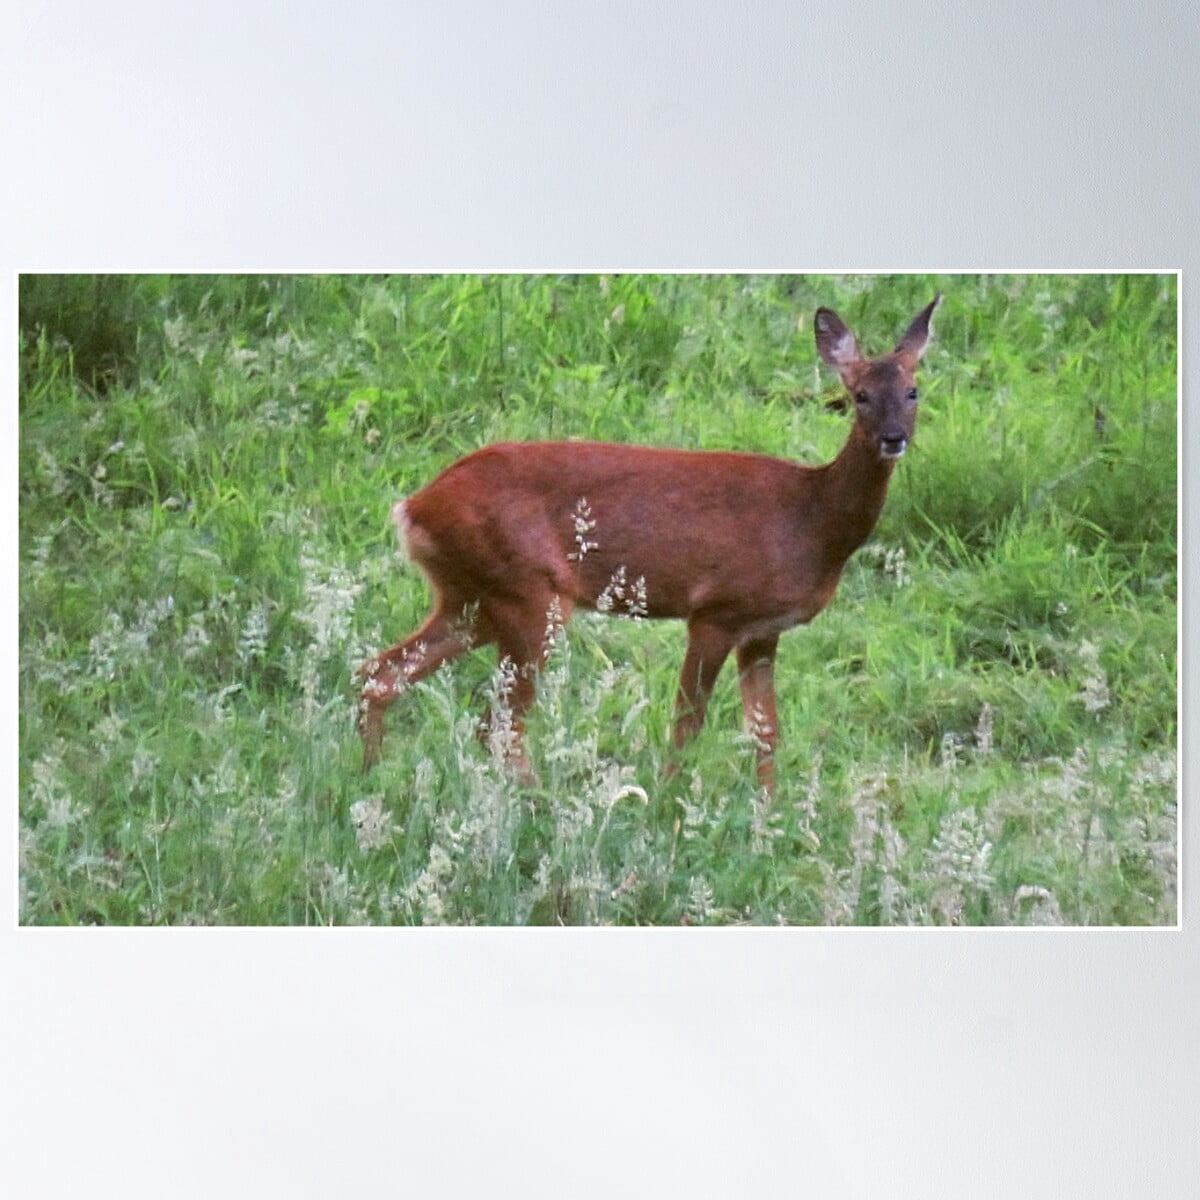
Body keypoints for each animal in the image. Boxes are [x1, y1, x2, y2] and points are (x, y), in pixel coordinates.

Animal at [357, 296, 940, 794]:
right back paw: (540, 803)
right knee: (495, 722)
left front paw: (771, 819)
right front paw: (670, 809)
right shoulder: (717, 610)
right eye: (860, 396)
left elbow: (765, 731)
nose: (894, 437)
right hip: (527, 592)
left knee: (380, 674)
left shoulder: (763, 631)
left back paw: (371, 780)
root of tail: (414, 507)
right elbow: (688, 723)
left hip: (472, 598)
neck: (812, 523)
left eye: (913, 392)